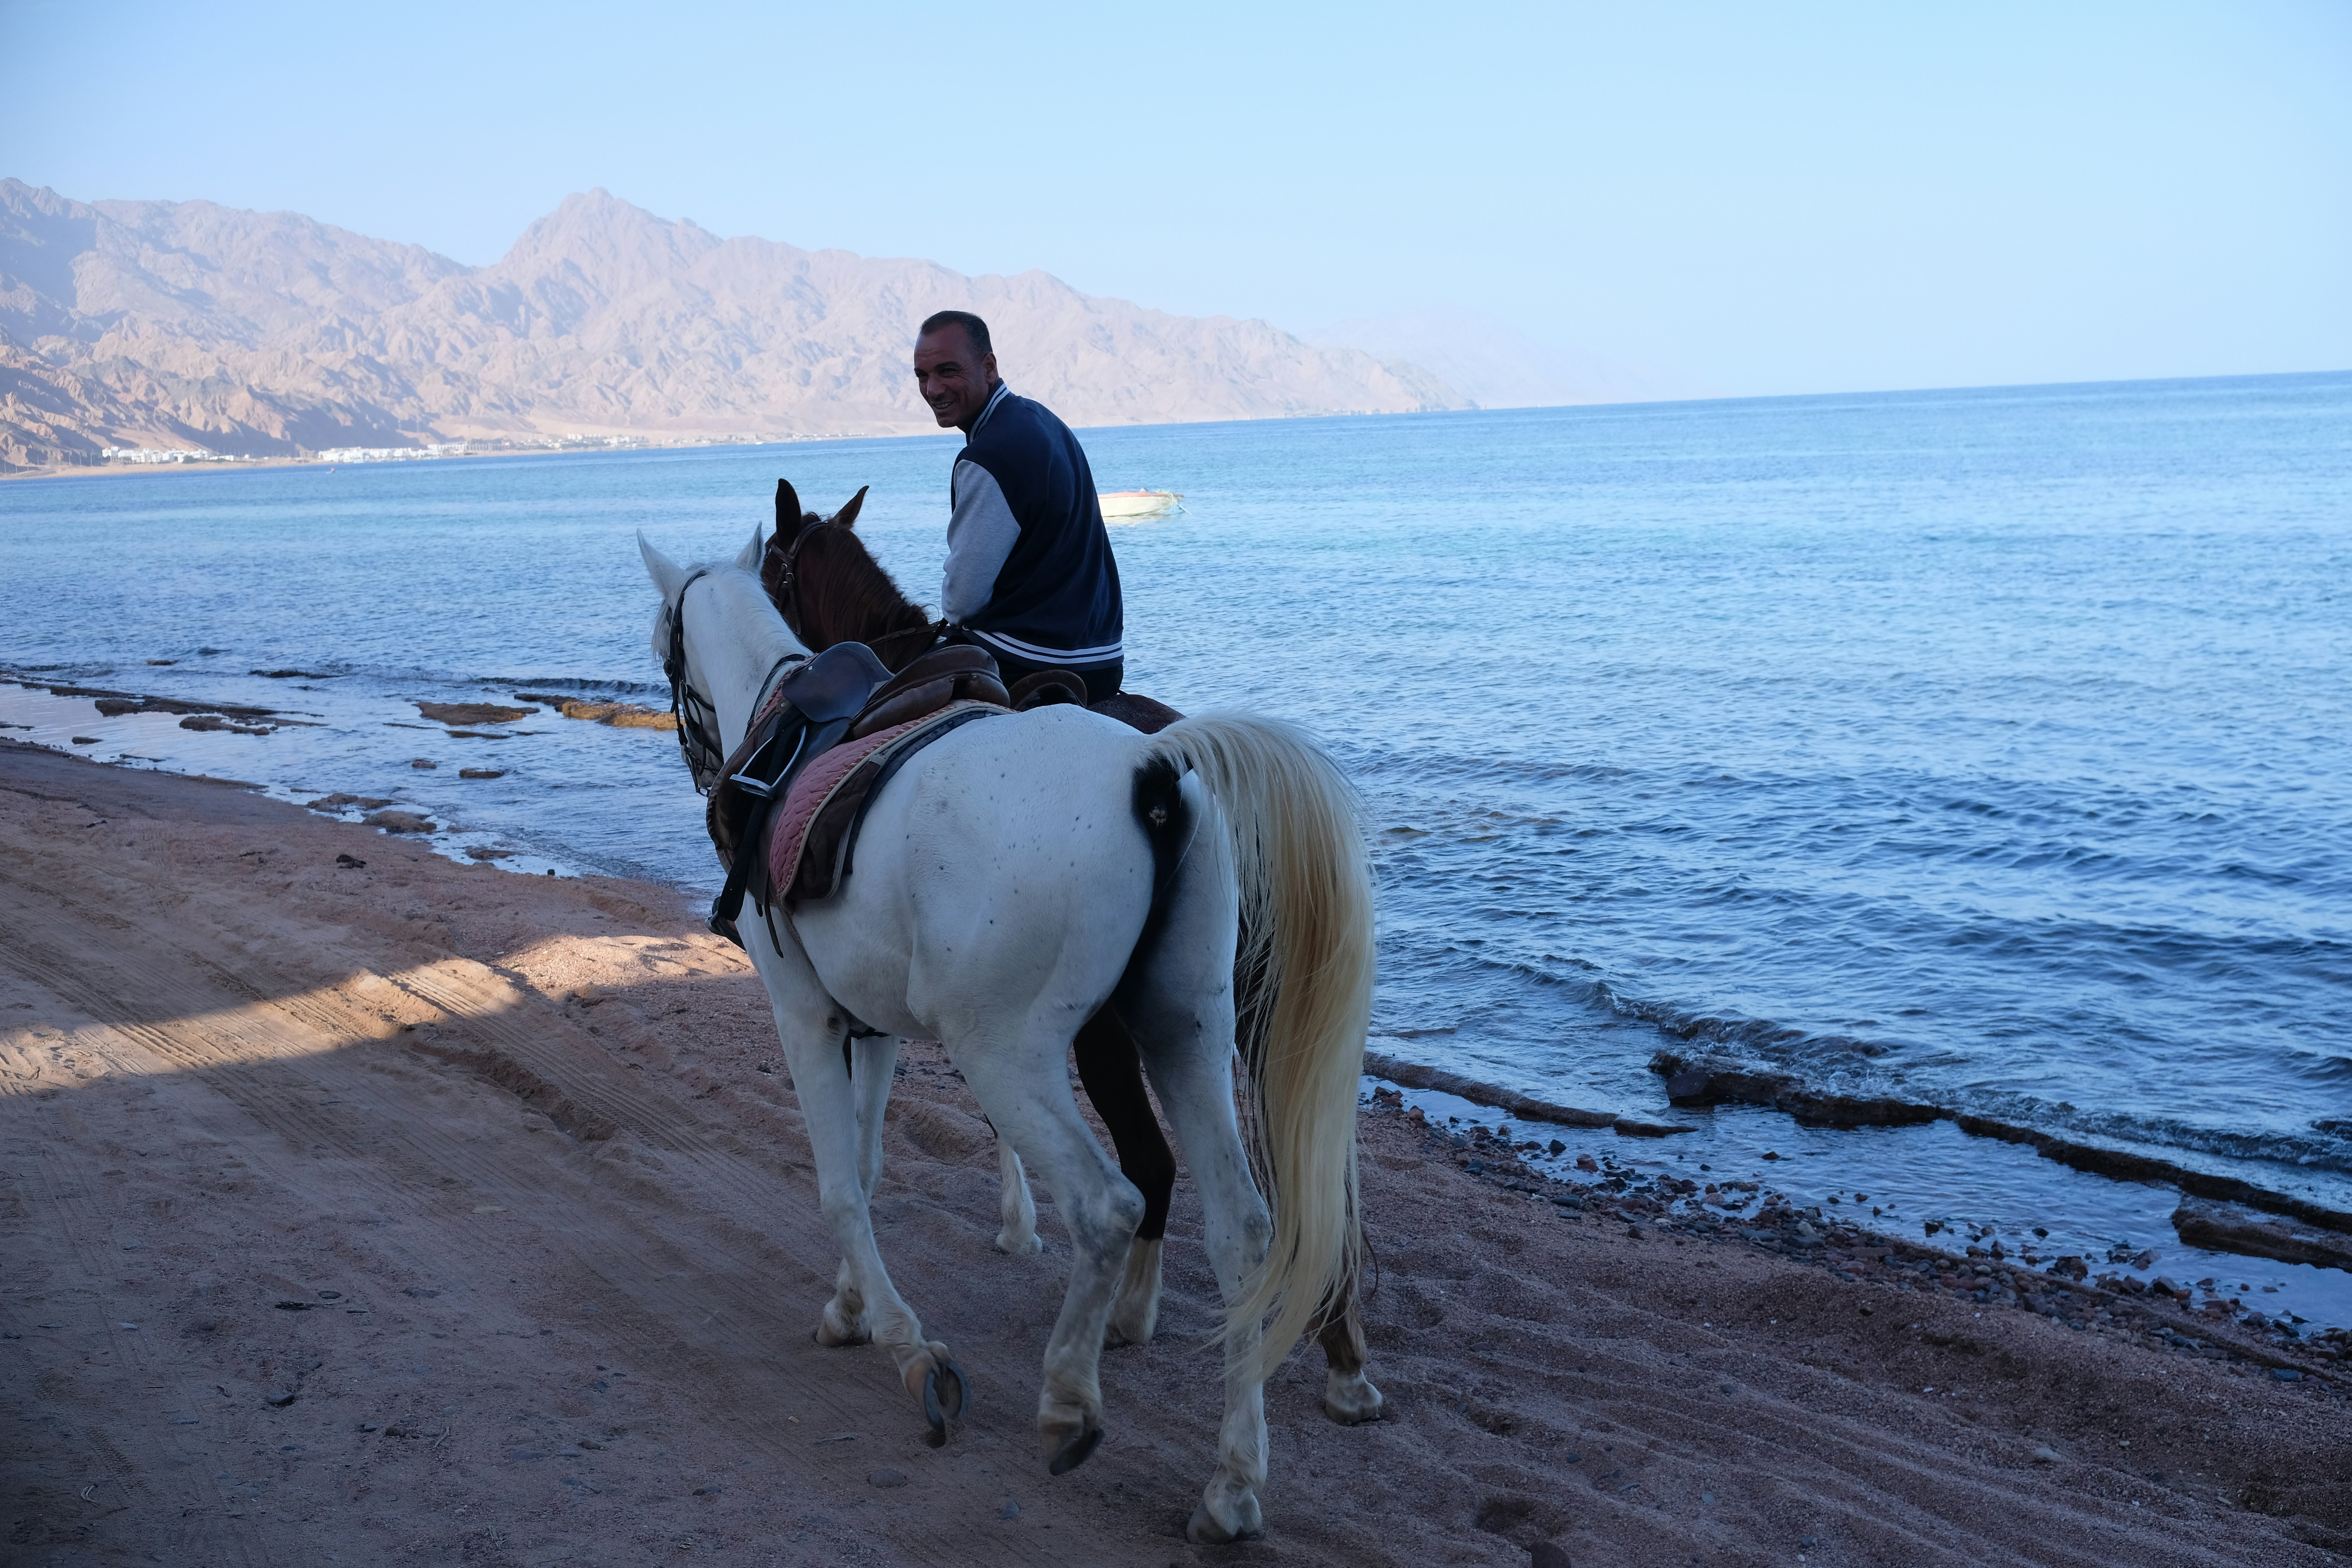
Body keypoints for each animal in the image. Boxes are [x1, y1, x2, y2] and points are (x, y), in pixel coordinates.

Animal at [639, 524, 1377, 1542]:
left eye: (661, 651)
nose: (704, 769)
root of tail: (1154, 770)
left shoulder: (805, 1015)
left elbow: (839, 1186)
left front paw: (906, 1344)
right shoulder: (873, 1026)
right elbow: (867, 1164)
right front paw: (850, 1305)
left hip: (1011, 1056)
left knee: (1112, 1201)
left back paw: (1071, 1393)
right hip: (1184, 1037)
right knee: (1244, 1227)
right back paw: (1233, 1478)